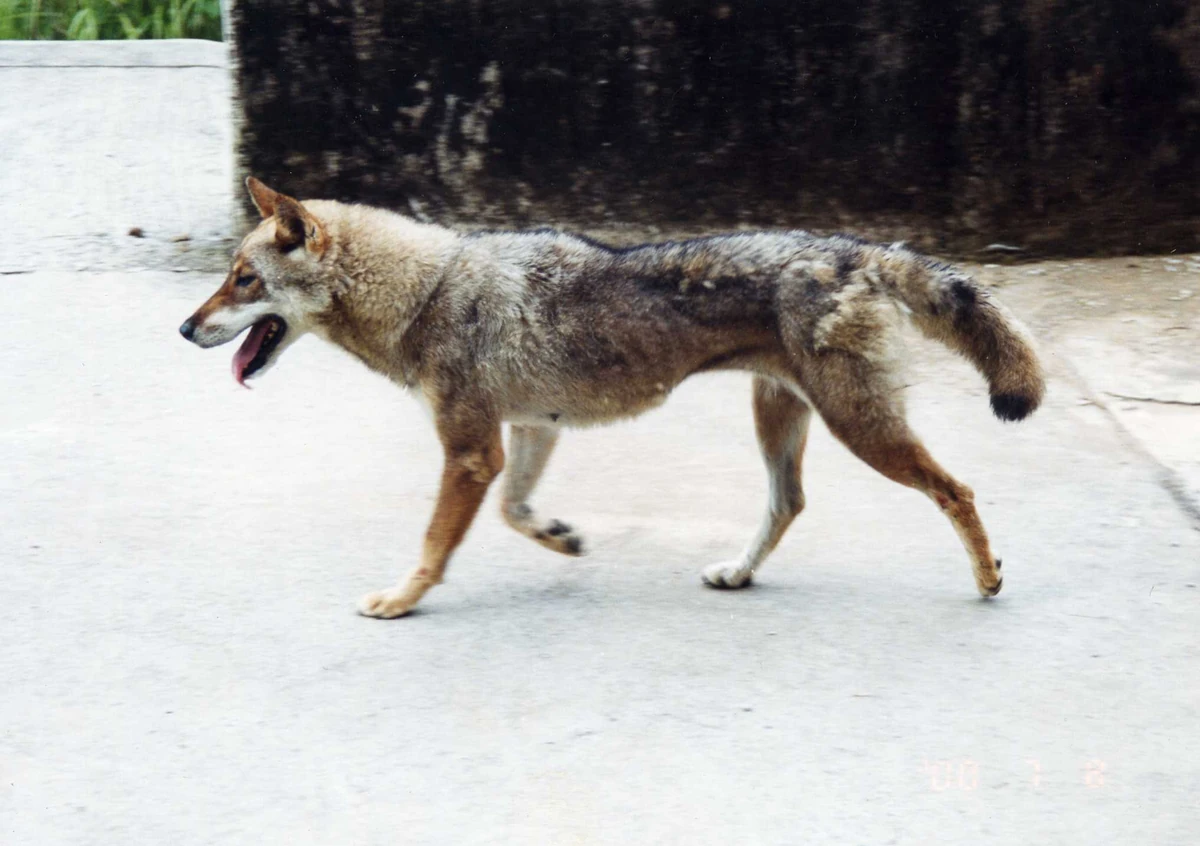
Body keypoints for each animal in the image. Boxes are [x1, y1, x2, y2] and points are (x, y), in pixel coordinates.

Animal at [180, 178, 1045, 618]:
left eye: (243, 280)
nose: (184, 328)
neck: (427, 290)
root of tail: (859, 250)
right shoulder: (525, 434)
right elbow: (515, 513)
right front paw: (562, 539)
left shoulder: (471, 451)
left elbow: (433, 547)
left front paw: (399, 599)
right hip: (783, 422)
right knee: (788, 505)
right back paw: (737, 574)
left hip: (859, 430)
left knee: (956, 489)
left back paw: (987, 580)